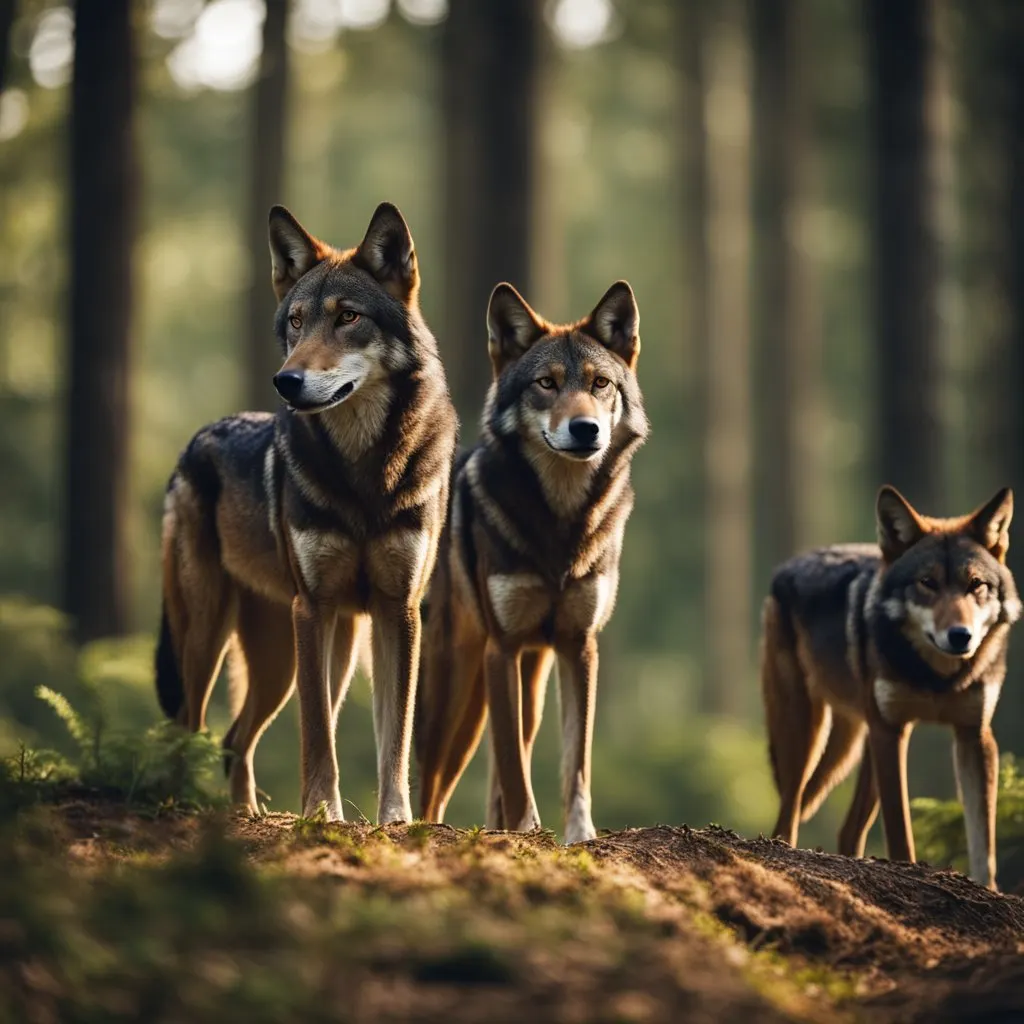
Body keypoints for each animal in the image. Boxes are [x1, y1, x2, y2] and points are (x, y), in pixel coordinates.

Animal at [156, 202, 458, 824]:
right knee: (189, 727)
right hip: (211, 637)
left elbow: (395, 735)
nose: (286, 380)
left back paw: (244, 815)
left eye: (348, 317)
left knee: (233, 739)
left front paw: (395, 819)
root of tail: (194, 442)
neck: (365, 475)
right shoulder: (313, 610)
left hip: (300, 654)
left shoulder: (398, 610)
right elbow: (318, 733)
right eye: (295, 322)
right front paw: (323, 812)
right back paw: (183, 807)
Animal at [416, 281, 649, 844]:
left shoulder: (579, 647)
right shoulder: (502, 649)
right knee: (433, 779)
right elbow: (515, 768)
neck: (561, 524)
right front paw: (525, 831)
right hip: (457, 686)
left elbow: (575, 764)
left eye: (600, 384)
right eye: (547, 383)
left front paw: (579, 836)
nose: (586, 429)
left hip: (527, 683)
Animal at [762, 485, 1018, 888]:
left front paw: (987, 889)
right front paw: (909, 869)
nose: (960, 636)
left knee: (847, 829)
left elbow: (984, 842)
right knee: (790, 807)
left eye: (976, 585)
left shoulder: (973, 736)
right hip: (808, 734)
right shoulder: (892, 732)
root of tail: (787, 565)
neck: (936, 677)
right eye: (927, 583)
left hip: (861, 745)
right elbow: (900, 831)